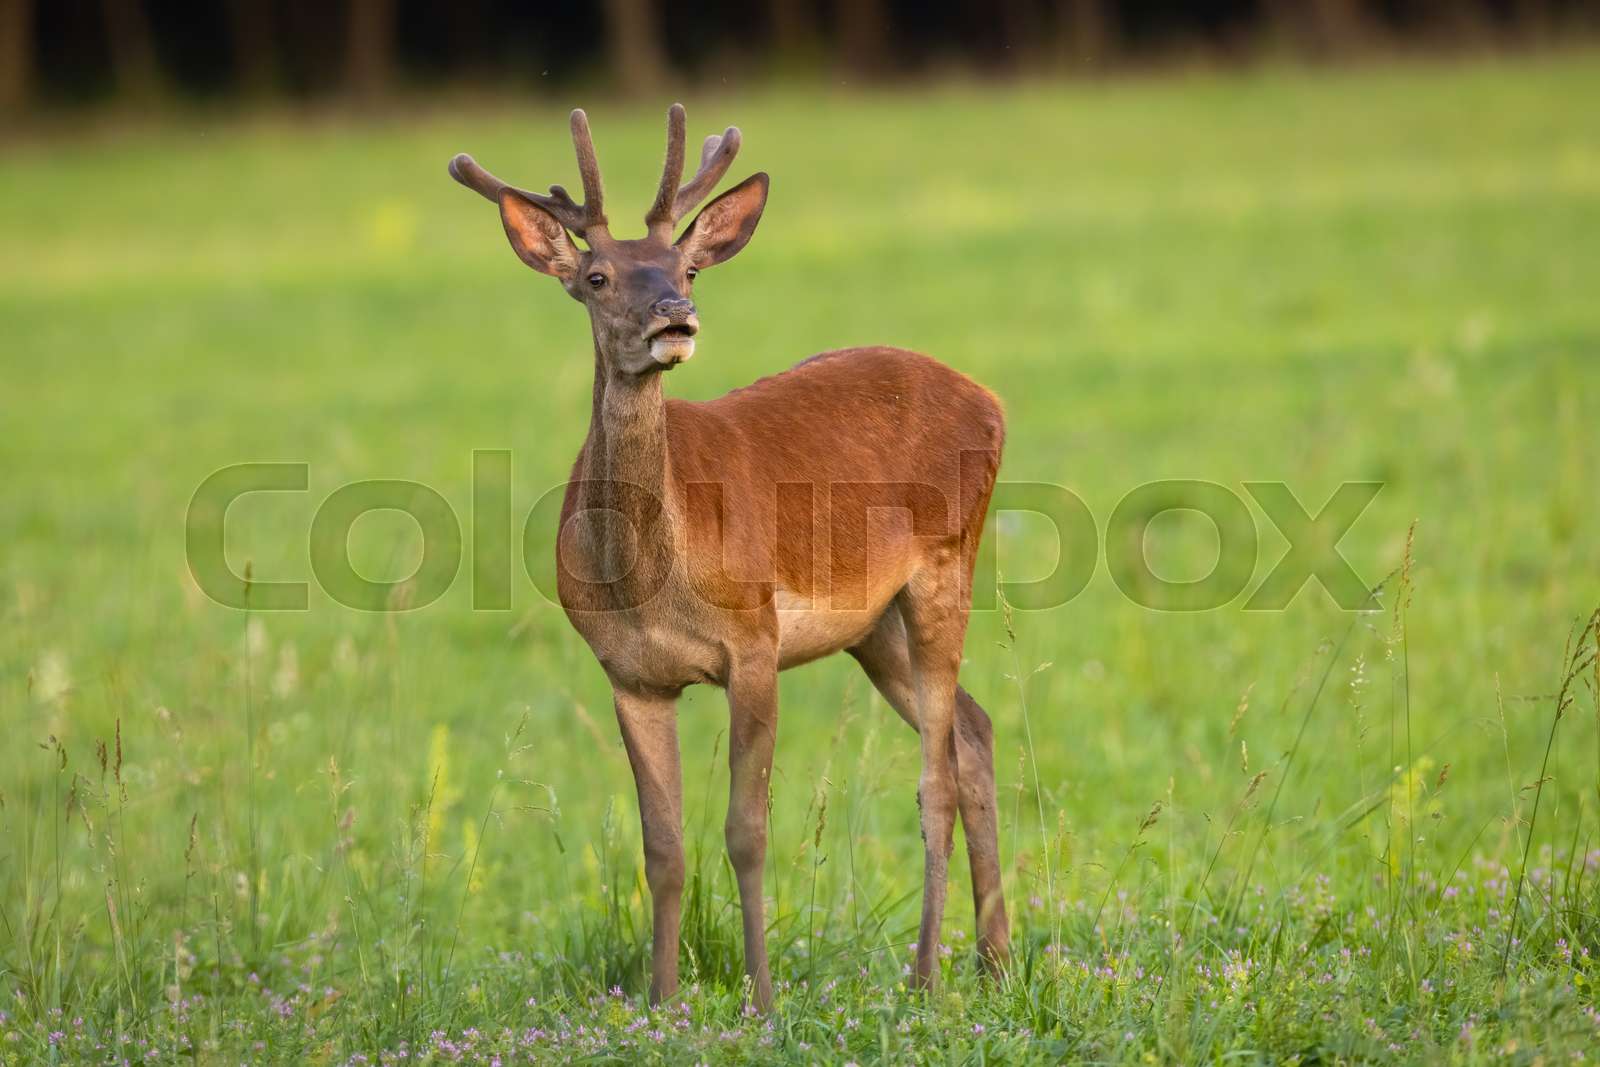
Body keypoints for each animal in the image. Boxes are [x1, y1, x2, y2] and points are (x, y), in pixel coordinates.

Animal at [448, 104, 1009, 1010]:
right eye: (597, 275)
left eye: (687, 268)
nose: (674, 314)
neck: (649, 579)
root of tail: (990, 398)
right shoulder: (630, 674)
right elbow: (662, 846)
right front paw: (661, 999)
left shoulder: (754, 640)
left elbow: (746, 830)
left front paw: (763, 997)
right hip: (870, 625)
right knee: (975, 729)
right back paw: (995, 959)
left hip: (946, 564)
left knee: (937, 778)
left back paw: (928, 974)